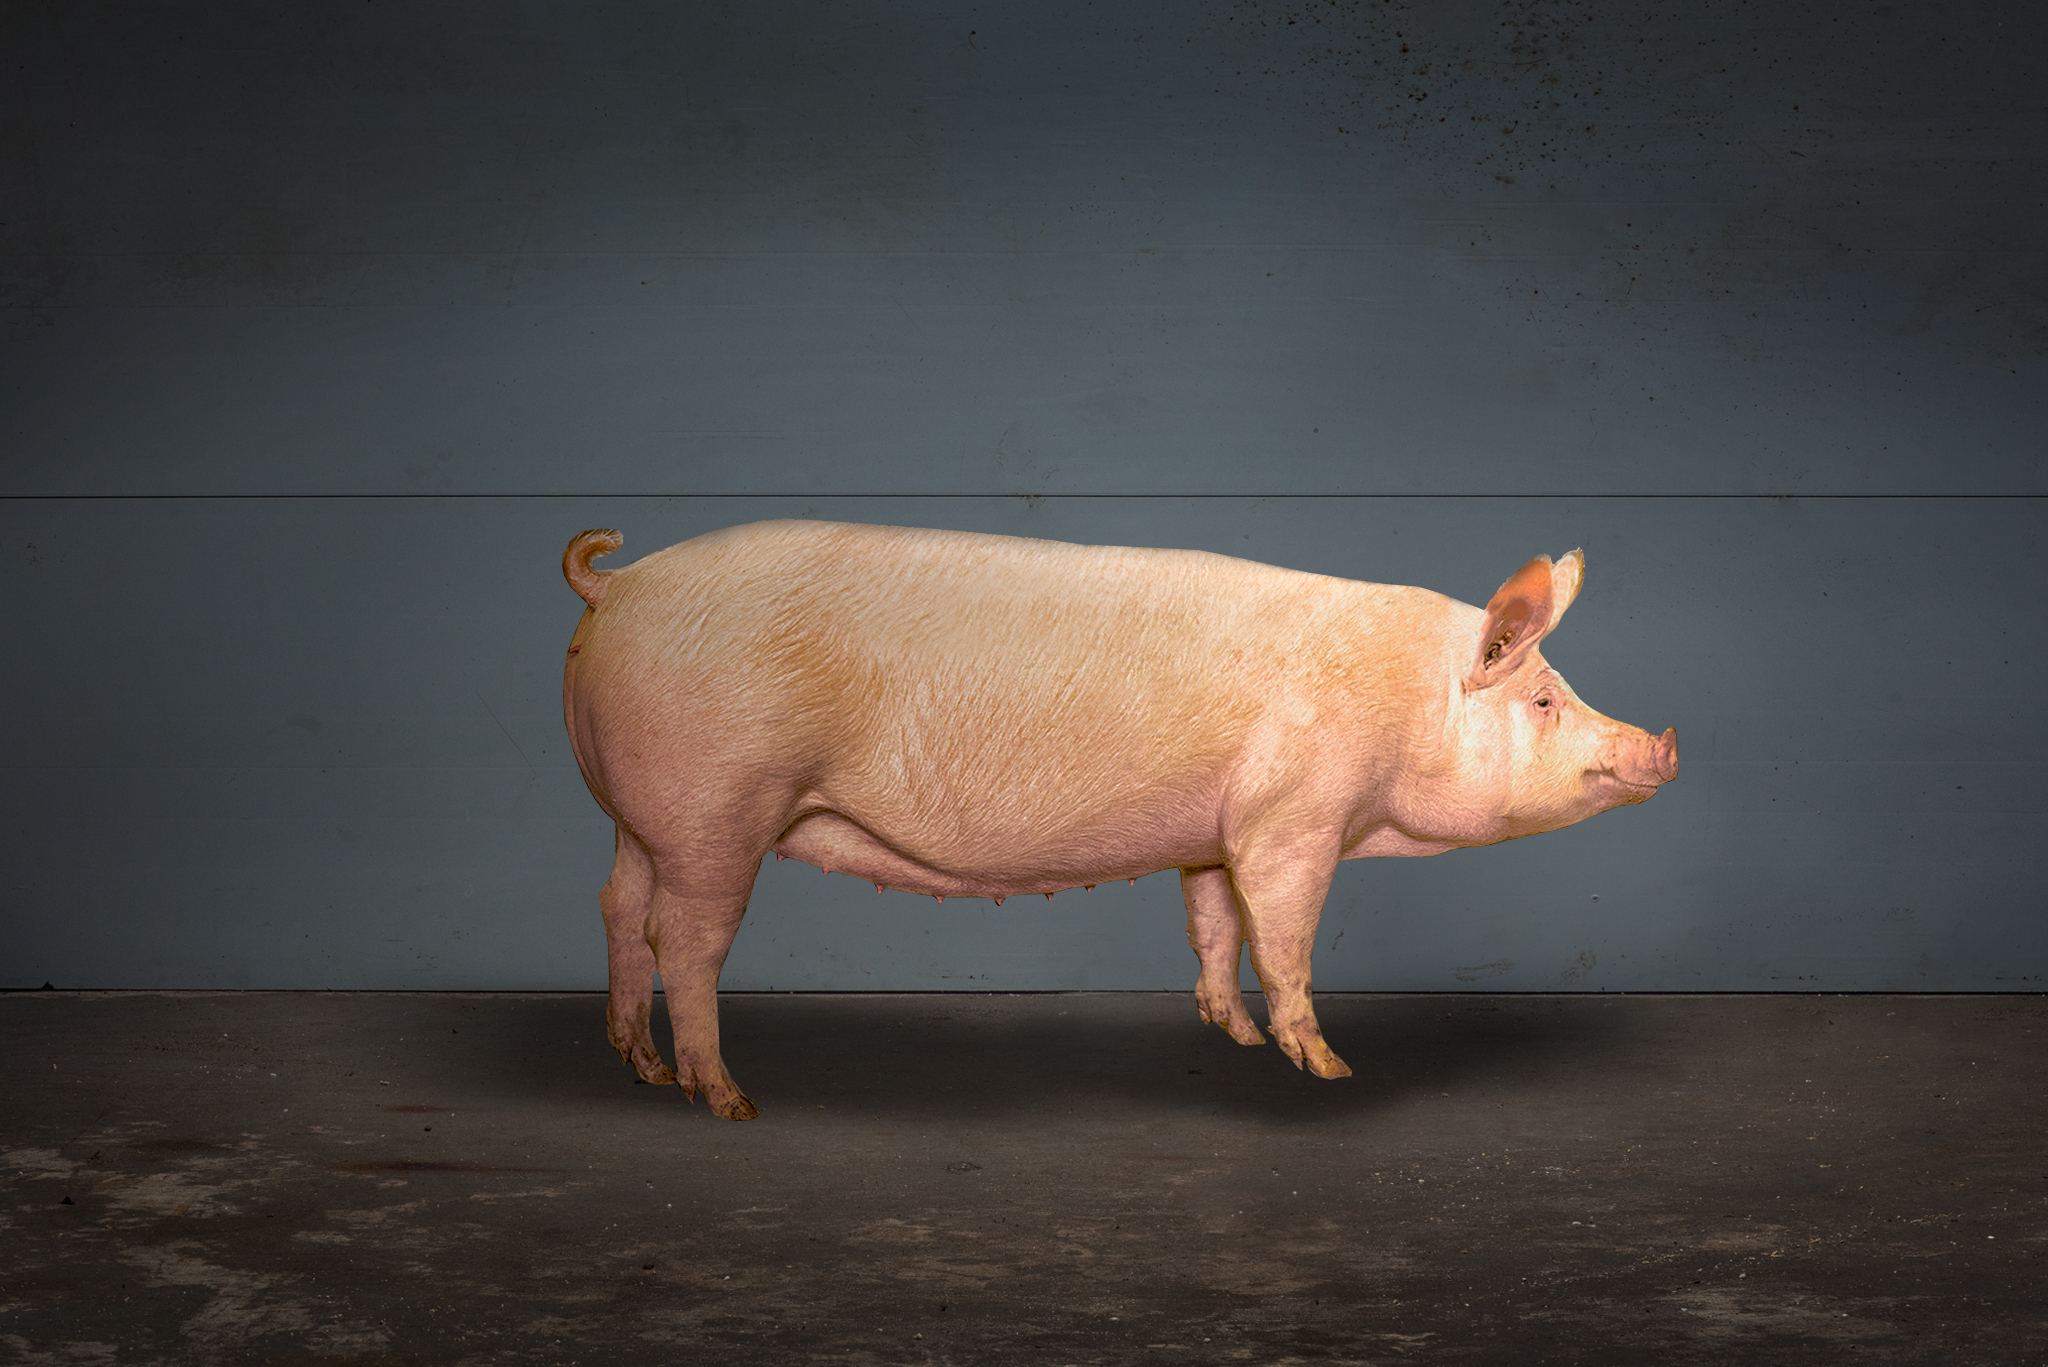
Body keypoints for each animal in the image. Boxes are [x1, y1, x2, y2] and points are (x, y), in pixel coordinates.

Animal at [561, 520, 1677, 1120]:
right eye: (1544, 699)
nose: (1661, 746)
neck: (1400, 706)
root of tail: (617, 583)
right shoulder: (1292, 819)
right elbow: (1283, 935)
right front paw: (1327, 1065)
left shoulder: (1216, 831)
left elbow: (1213, 923)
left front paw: (1230, 1034)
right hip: (716, 805)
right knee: (684, 937)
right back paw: (726, 1098)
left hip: (634, 814)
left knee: (616, 907)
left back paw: (638, 1064)